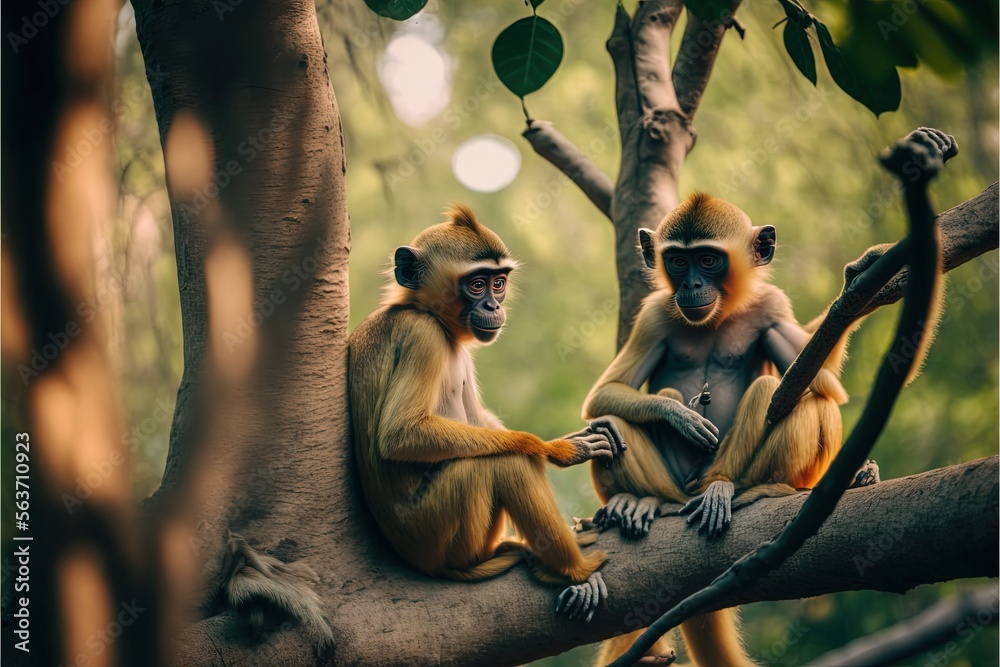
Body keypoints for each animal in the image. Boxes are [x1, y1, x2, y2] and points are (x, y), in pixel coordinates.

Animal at [348, 204, 627, 623]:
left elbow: (478, 419)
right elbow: (401, 434)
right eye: (477, 285)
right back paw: (572, 569)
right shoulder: (423, 335)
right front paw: (555, 450)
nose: (494, 306)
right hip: (436, 531)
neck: (420, 311)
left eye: (499, 283)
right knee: (500, 462)